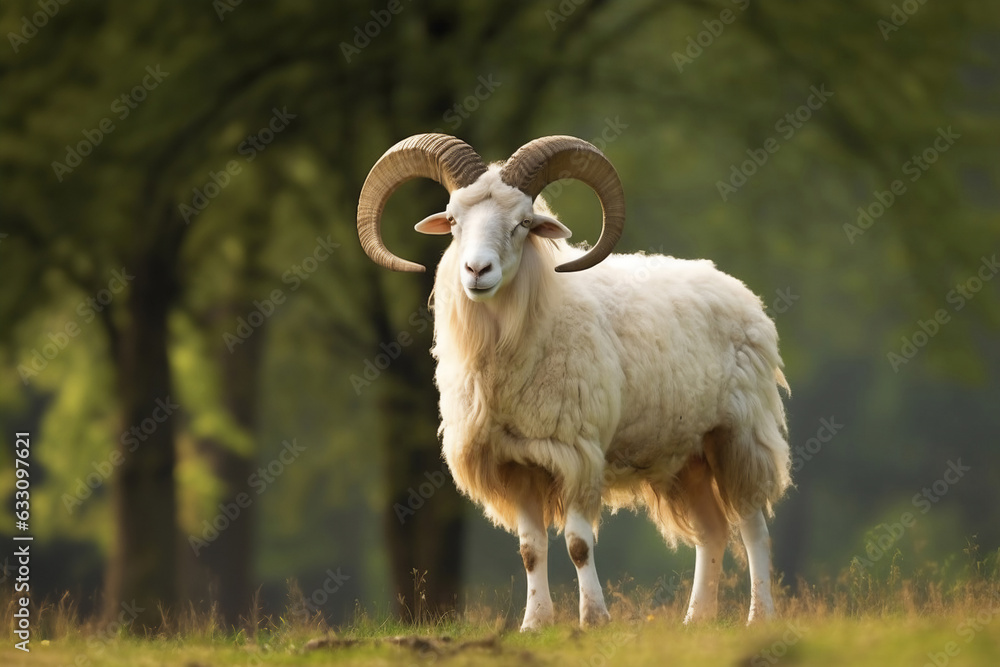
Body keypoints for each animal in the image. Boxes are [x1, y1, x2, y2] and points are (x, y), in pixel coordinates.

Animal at [356, 133, 791, 630]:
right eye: (452, 220)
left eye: (523, 223)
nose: (477, 272)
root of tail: (739, 290)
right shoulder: (516, 463)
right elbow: (530, 550)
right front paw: (534, 623)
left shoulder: (578, 454)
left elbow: (579, 545)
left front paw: (594, 619)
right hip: (686, 453)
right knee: (713, 530)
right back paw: (695, 620)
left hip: (738, 436)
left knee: (753, 527)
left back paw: (760, 617)